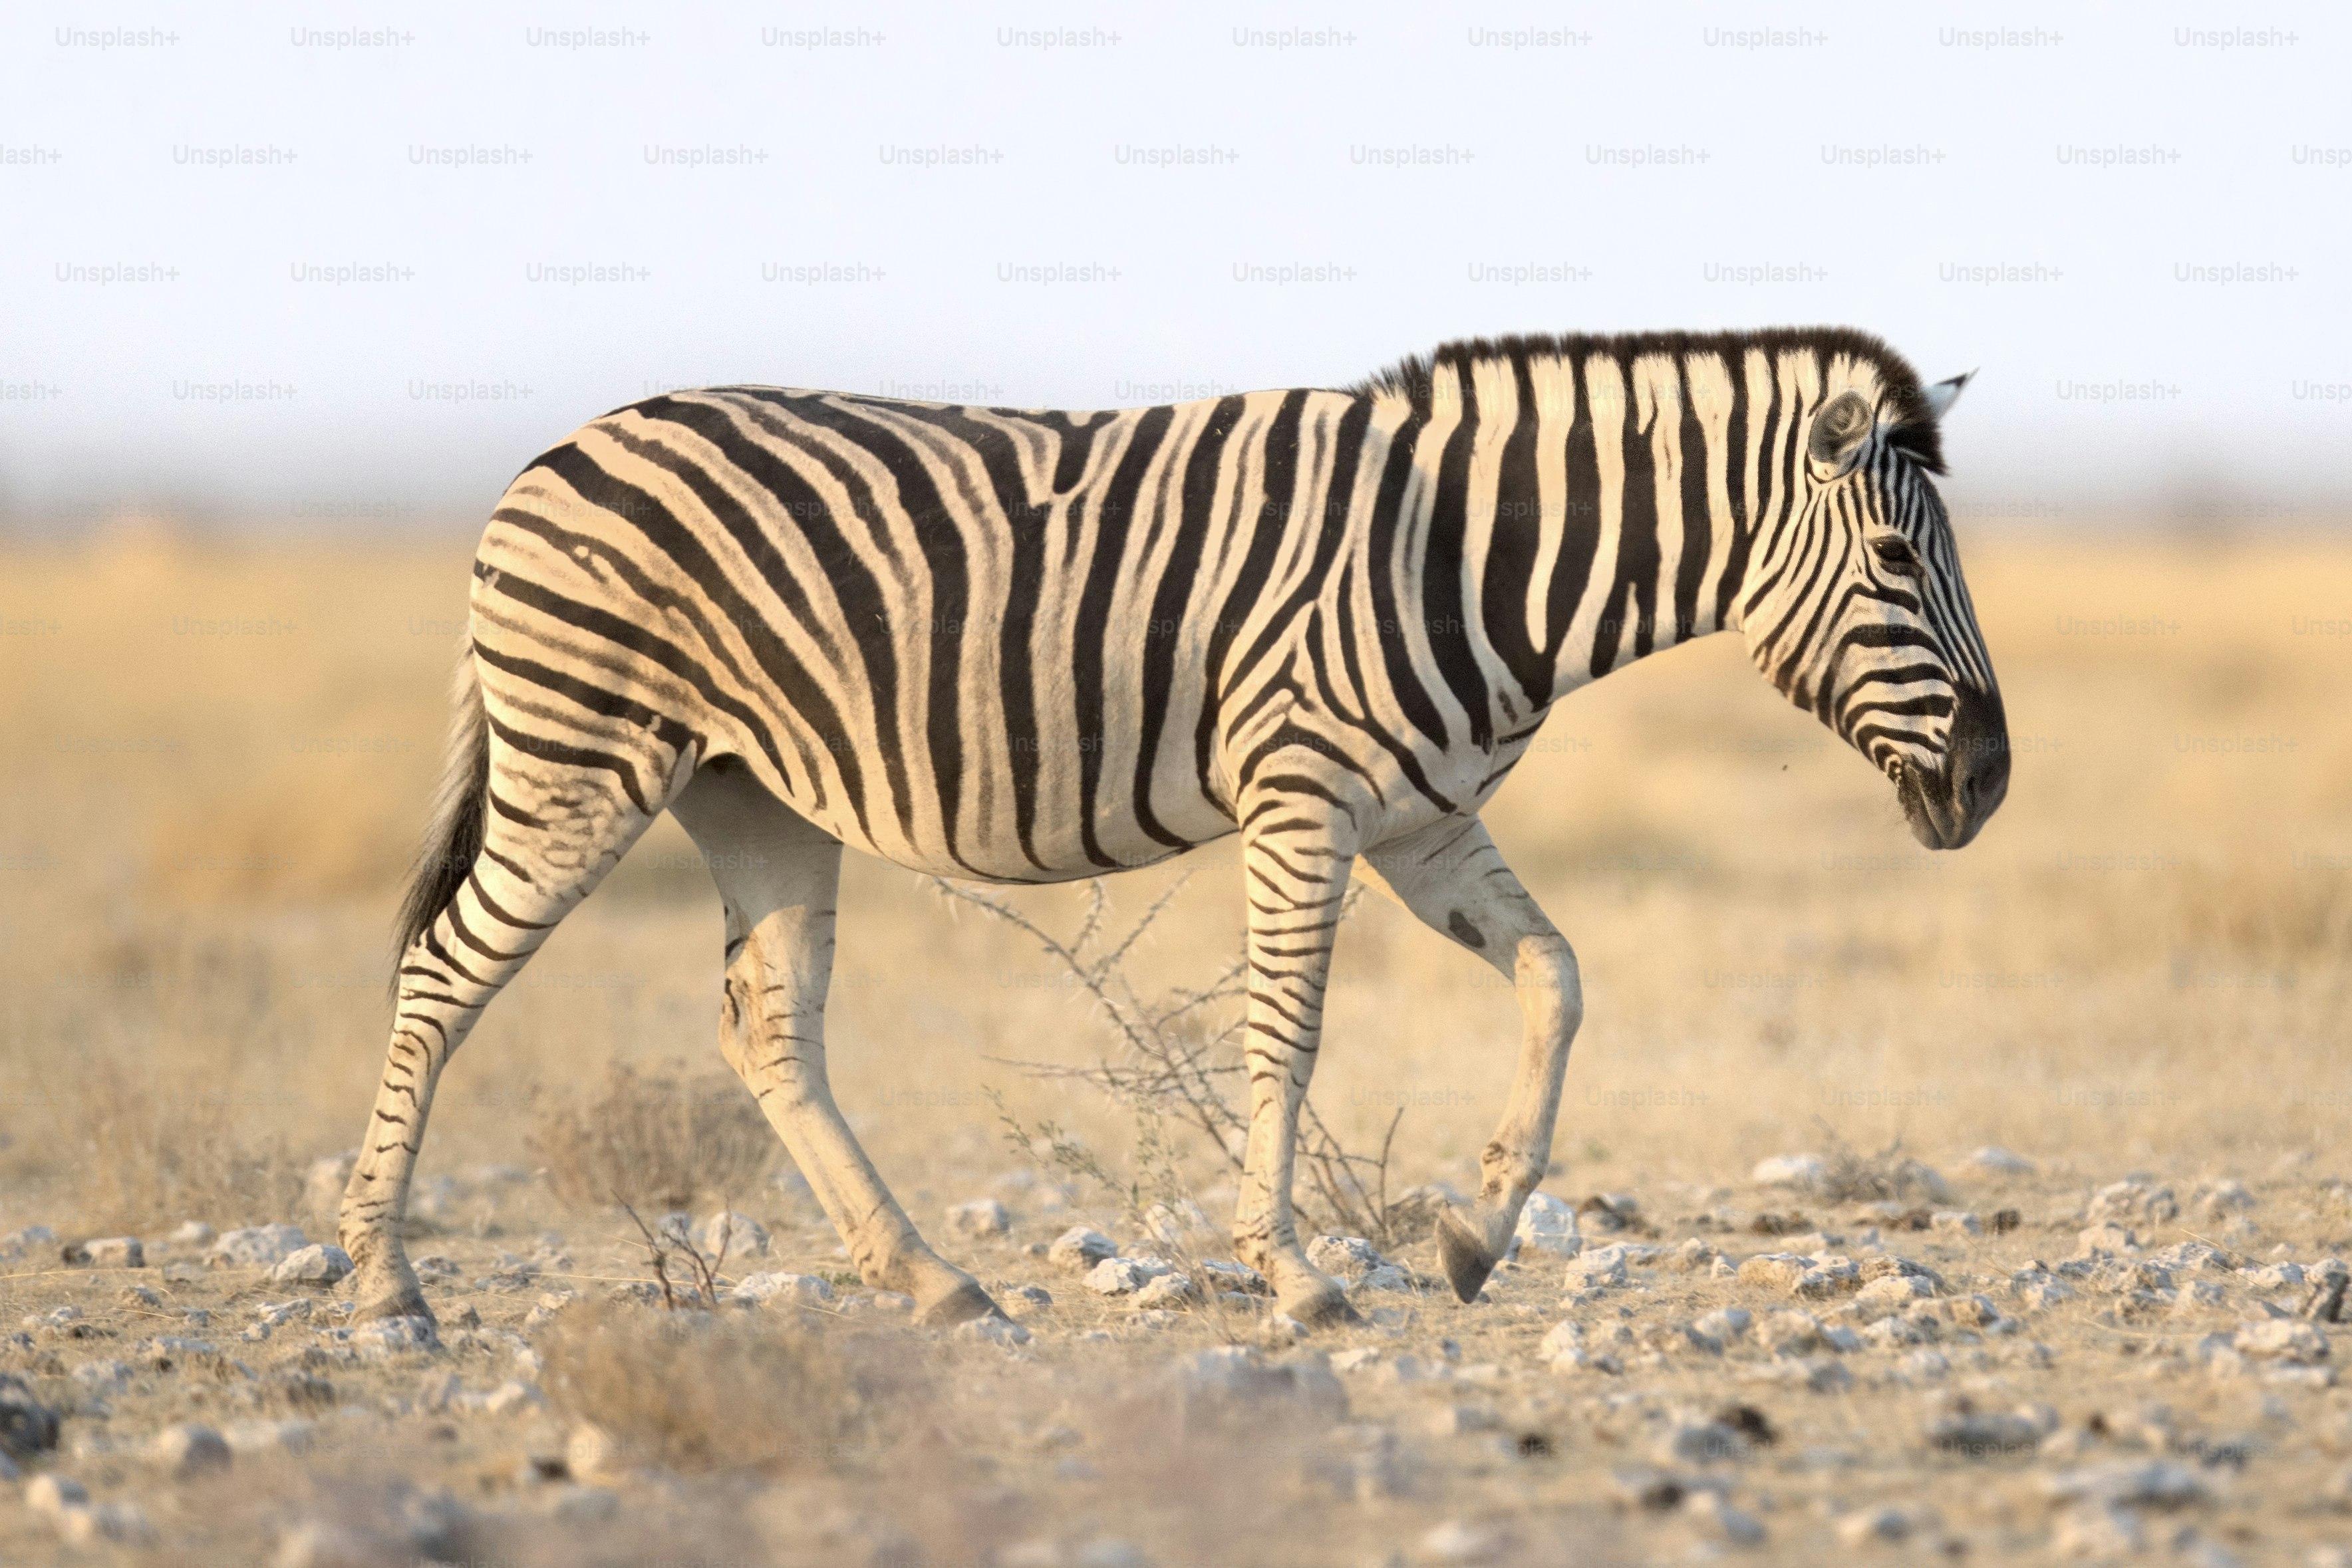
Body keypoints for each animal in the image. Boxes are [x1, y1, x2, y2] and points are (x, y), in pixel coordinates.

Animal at [340, 326, 2007, 1332]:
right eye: (1889, 562)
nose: (1990, 780)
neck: (1468, 557)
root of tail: (552, 454)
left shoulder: (1423, 820)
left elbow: (1556, 978)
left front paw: (1473, 1236)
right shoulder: (1305, 795)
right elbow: (1288, 1033)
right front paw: (1295, 1278)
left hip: (749, 789)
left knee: (766, 1024)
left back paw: (929, 1282)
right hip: (584, 762)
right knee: (437, 975)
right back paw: (383, 1285)